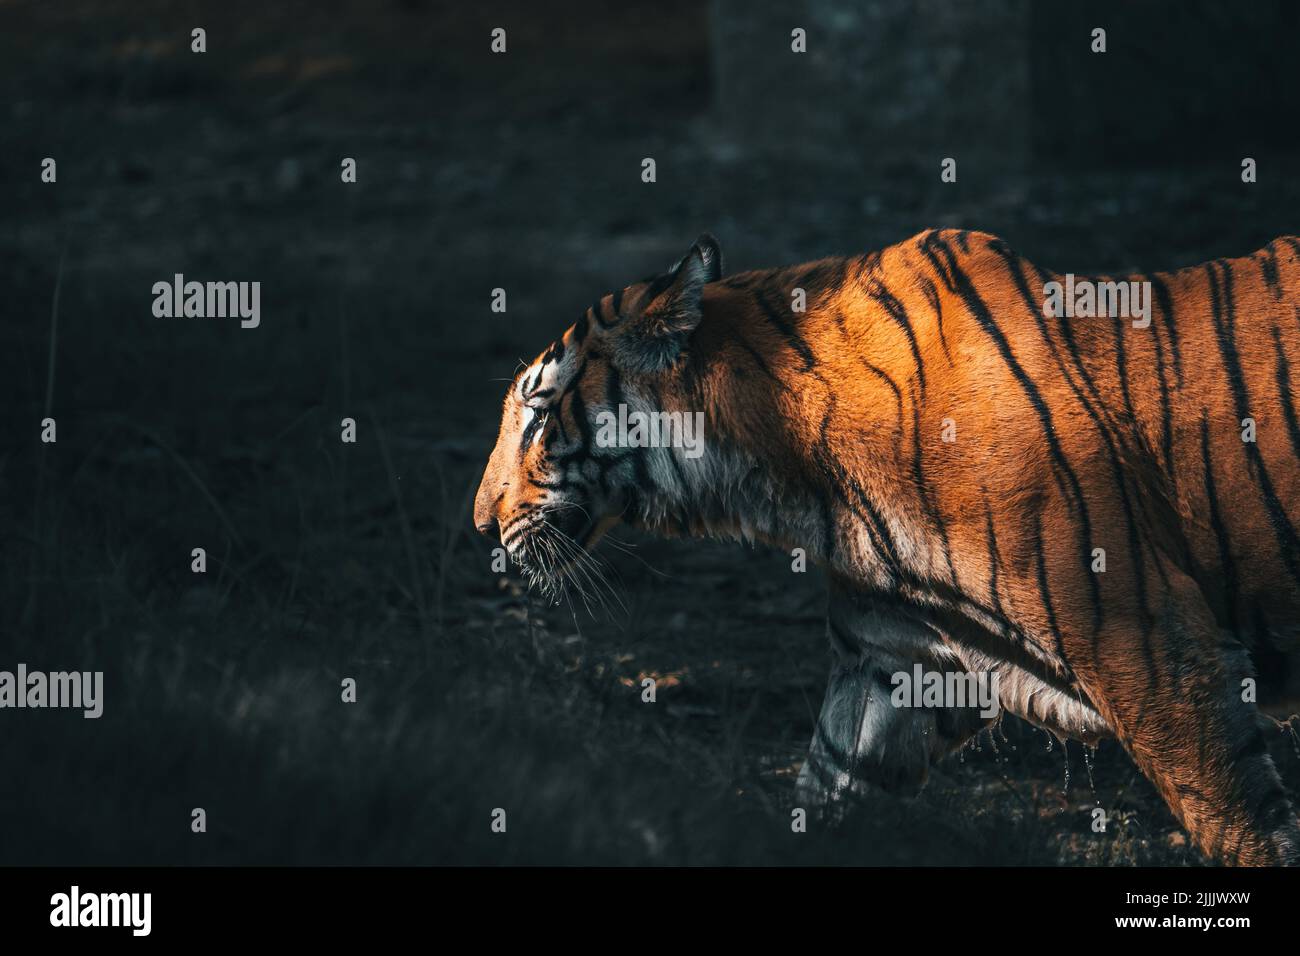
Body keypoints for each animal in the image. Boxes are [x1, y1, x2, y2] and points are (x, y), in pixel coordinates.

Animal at [472, 228, 1300, 865]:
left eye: (538, 415)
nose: (480, 523)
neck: (788, 469)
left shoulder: (1151, 646)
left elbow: (1242, 828)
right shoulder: (895, 663)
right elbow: (828, 791)